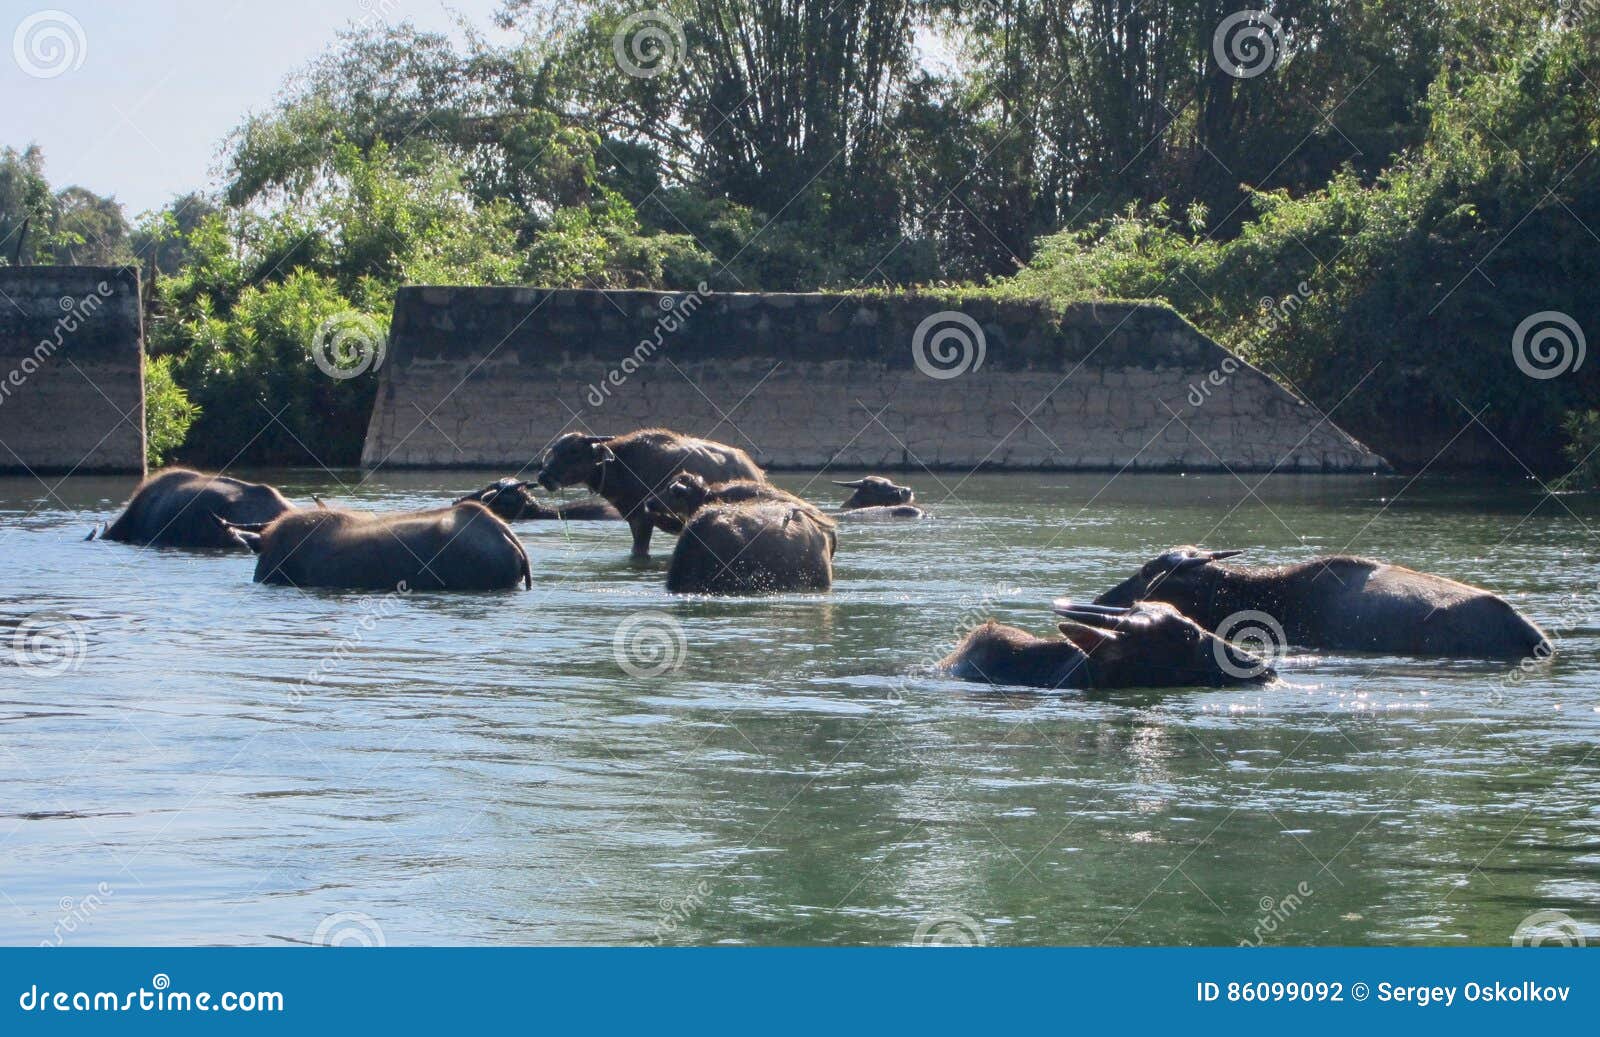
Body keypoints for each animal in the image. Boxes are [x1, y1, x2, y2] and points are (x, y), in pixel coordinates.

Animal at [535, 429, 765, 559]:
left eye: (573, 451)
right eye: (554, 450)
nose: (543, 476)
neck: (621, 466)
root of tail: (754, 470)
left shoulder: (643, 519)